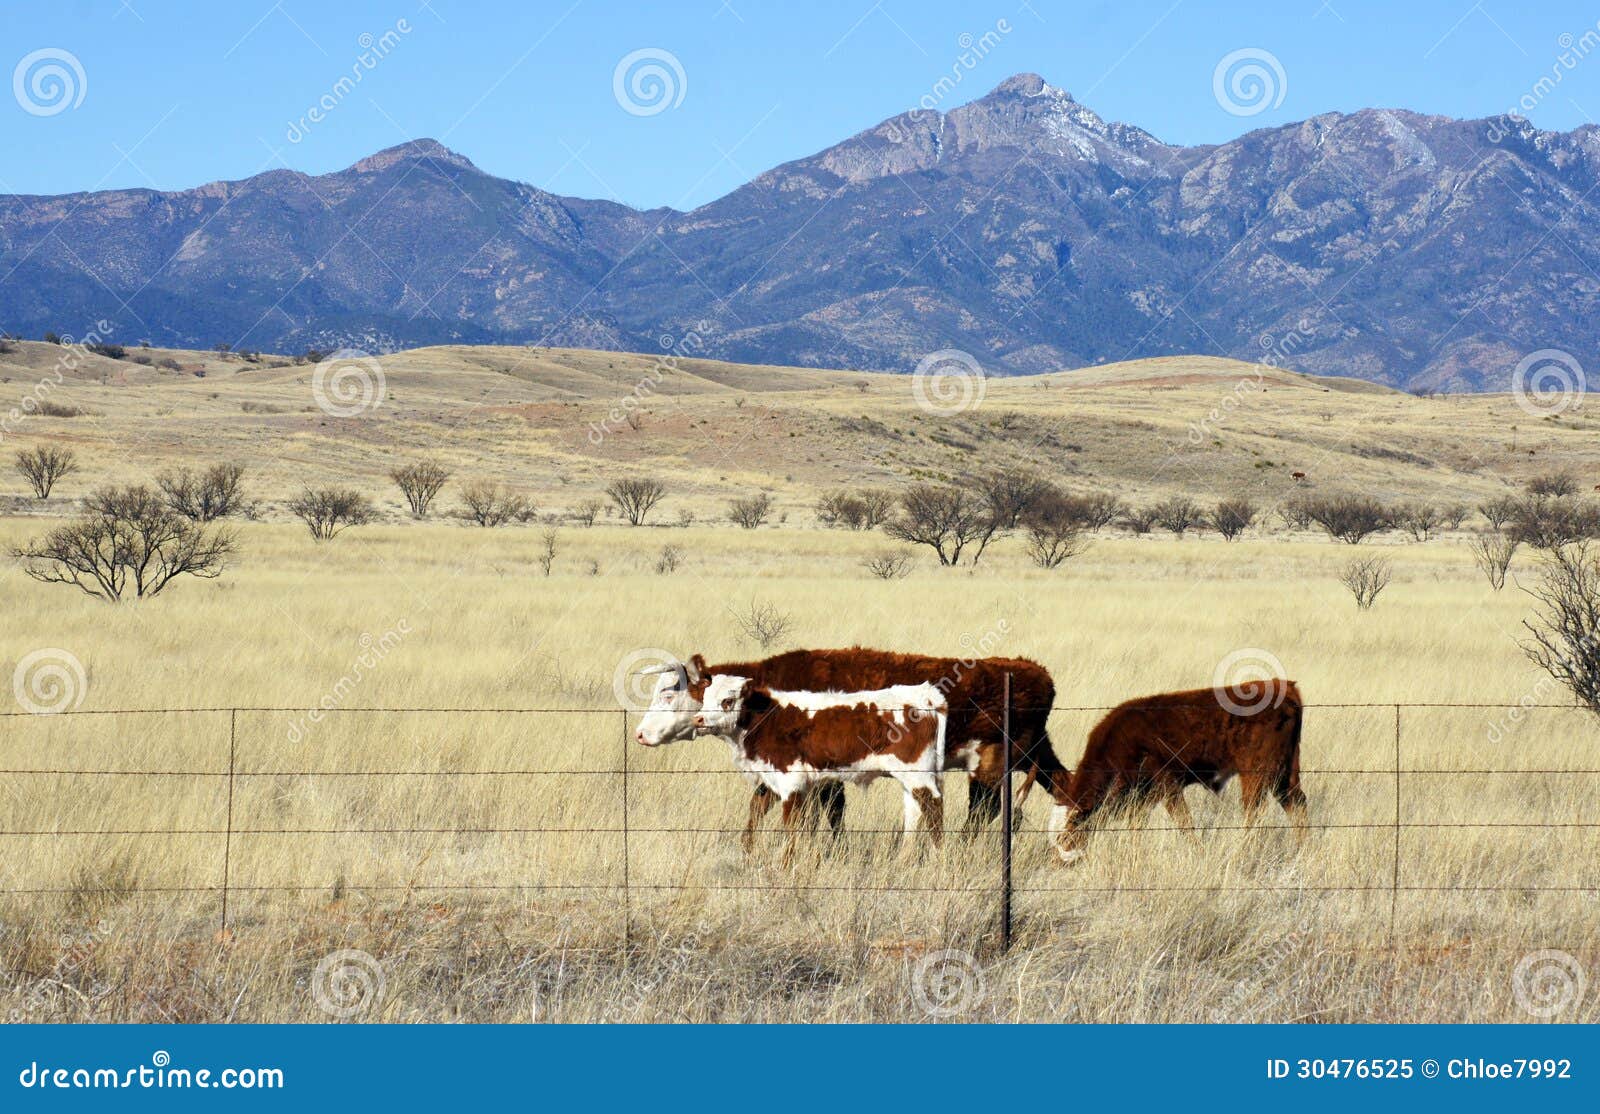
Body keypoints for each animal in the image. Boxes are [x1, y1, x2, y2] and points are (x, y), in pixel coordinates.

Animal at [633, 647, 1065, 839]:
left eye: (668, 693)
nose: (640, 733)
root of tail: (1034, 671)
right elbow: (764, 808)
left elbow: (823, 814)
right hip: (1035, 753)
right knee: (1063, 786)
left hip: (990, 763)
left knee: (983, 812)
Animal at [692, 676, 948, 861]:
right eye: (705, 698)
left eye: (727, 701)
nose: (698, 720)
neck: (768, 718)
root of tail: (925, 694)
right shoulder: (774, 777)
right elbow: (758, 808)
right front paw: (747, 849)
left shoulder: (791, 779)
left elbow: (792, 823)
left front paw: (787, 864)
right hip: (911, 777)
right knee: (914, 811)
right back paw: (903, 859)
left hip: (917, 773)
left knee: (932, 805)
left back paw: (937, 857)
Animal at [1051, 680, 1307, 862]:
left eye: (1071, 827)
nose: (1061, 854)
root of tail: (1282, 686)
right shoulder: (1144, 797)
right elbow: (1138, 826)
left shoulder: (1167, 786)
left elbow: (1184, 822)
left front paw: (1199, 852)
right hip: (1286, 775)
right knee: (1296, 804)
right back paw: (1300, 848)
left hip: (1257, 774)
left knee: (1255, 811)